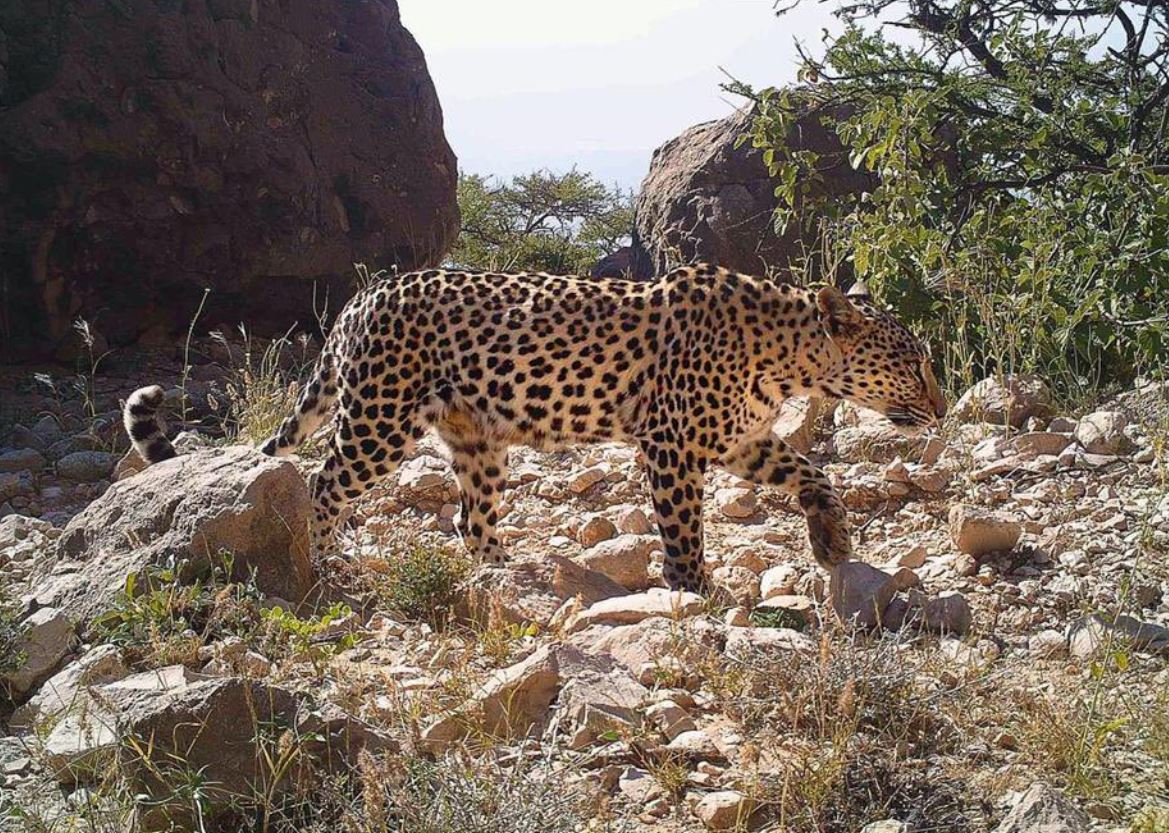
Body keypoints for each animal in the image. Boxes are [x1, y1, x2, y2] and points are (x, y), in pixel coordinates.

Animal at [125, 263, 946, 592]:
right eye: (912, 363)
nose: (939, 409)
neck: (787, 357)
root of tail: (363, 298)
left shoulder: (739, 436)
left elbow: (812, 472)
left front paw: (830, 541)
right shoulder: (674, 443)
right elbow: (683, 527)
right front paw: (692, 590)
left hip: (477, 440)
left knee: (468, 517)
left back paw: (507, 569)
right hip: (379, 420)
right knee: (324, 485)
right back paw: (325, 563)